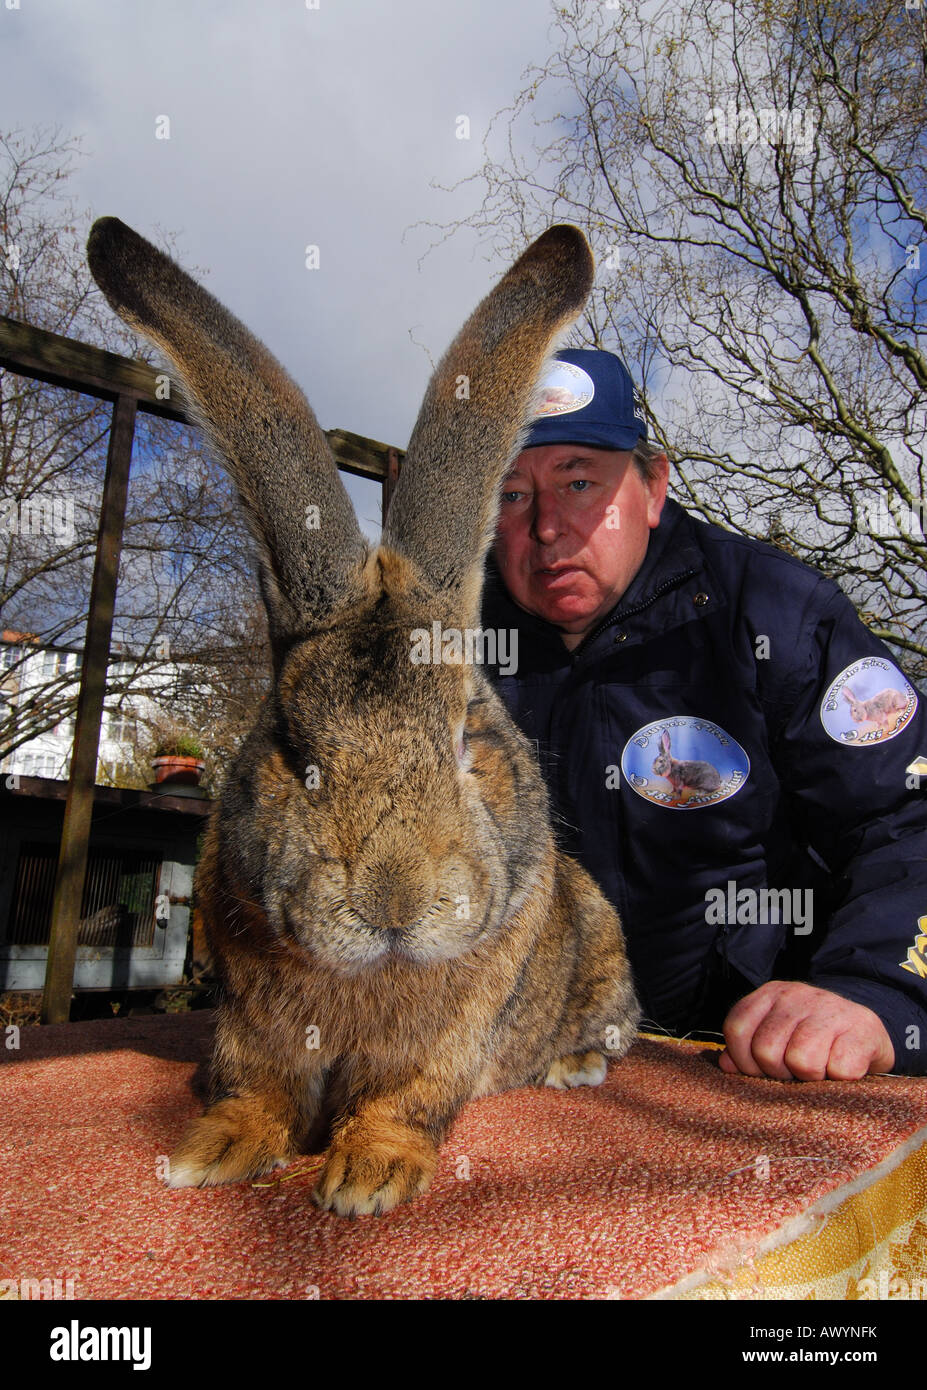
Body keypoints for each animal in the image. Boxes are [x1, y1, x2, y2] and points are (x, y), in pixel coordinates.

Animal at [86, 217, 641, 1218]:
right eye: (291, 747)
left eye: (468, 736)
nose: (393, 902)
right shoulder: (254, 1033)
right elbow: (255, 1092)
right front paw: (209, 1152)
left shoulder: (439, 1049)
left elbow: (402, 1101)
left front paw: (366, 1181)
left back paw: (572, 1066)